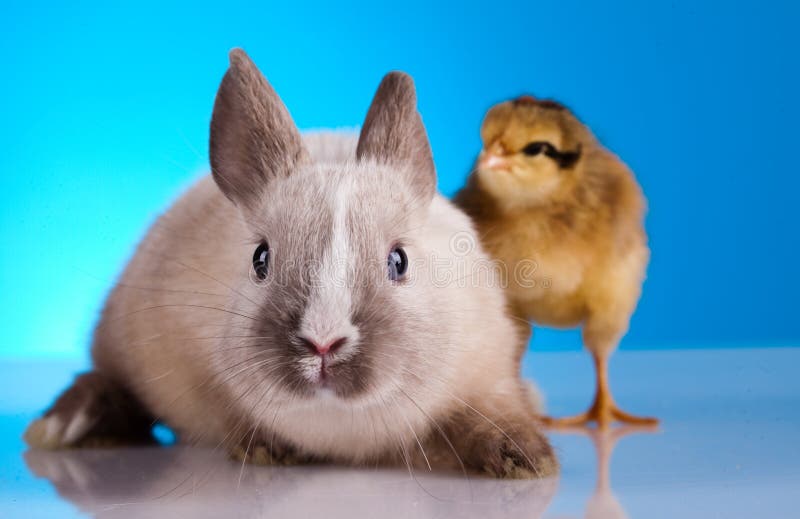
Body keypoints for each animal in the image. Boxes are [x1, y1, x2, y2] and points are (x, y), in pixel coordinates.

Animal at [24, 49, 556, 479]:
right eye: (260, 259)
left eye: (399, 261)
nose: (323, 343)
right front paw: (266, 448)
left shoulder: (489, 368)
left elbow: (493, 414)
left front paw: (526, 459)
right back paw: (67, 425)